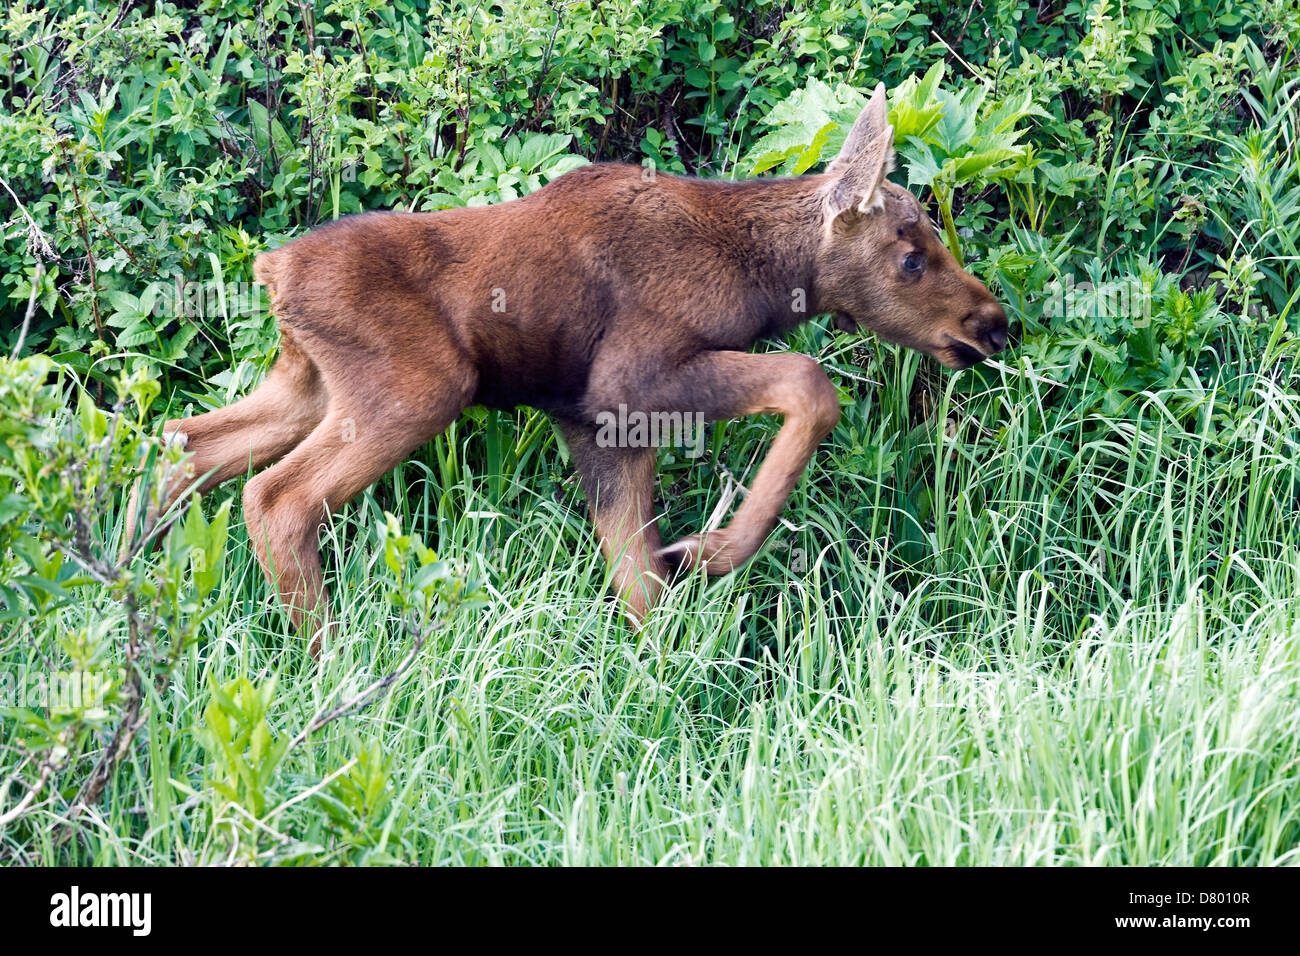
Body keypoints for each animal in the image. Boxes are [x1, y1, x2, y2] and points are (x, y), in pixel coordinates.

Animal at [124, 83, 1007, 656]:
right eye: (911, 257)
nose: (994, 324)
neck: (757, 279)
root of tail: (272, 270)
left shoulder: (592, 424)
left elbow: (637, 582)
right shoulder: (628, 383)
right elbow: (808, 381)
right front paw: (712, 551)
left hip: (305, 383)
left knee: (181, 442)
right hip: (416, 388)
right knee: (276, 497)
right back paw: (330, 663)